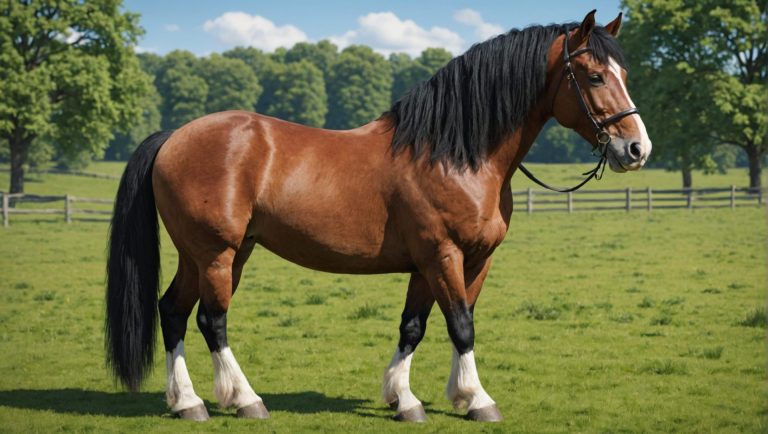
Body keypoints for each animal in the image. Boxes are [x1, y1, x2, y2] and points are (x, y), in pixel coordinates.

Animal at [105, 10, 651, 423]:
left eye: (625, 75)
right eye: (595, 75)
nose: (636, 148)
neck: (454, 153)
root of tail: (174, 137)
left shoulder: (460, 262)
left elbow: (417, 326)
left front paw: (409, 398)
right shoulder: (442, 256)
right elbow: (460, 325)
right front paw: (478, 400)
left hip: (212, 255)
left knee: (173, 312)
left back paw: (187, 403)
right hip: (216, 254)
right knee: (211, 320)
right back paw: (245, 400)